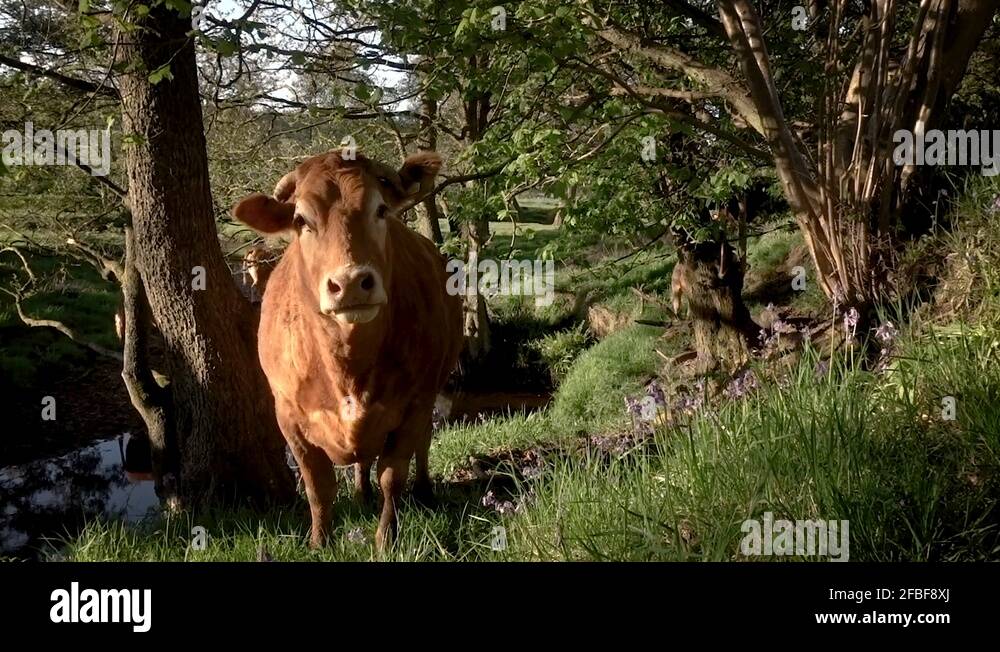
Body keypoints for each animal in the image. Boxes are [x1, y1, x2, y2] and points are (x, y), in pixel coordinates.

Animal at [233, 150, 463, 549]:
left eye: (381, 210)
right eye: (301, 220)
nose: (352, 282)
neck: (346, 366)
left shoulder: (416, 403)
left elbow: (392, 476)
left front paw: (386, 539)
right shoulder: (288, 418)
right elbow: (317, 486)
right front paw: (319, 541)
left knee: (422, 445)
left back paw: (424, 491)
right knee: (361, 461)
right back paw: (360, 493)